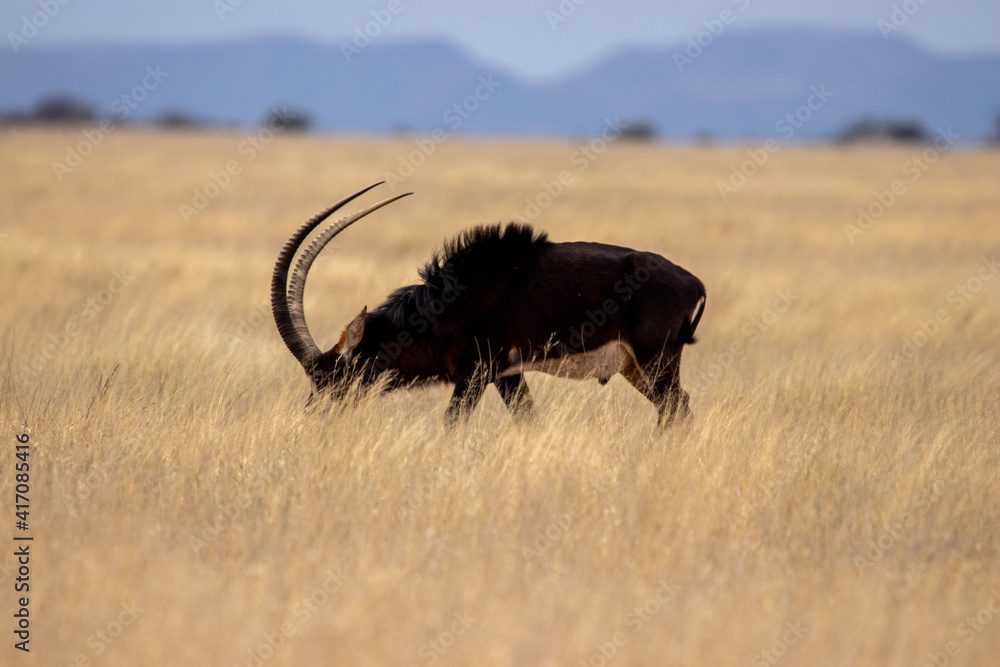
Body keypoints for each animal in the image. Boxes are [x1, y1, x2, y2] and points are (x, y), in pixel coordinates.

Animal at [271, 183, 706, 426]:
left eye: (331, 380)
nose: (312, 420)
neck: (445, 305)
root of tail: (692, 282)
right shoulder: (507, 375)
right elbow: (528, 420)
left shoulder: (476, 372)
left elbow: (452, 426)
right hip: (635, 368)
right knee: (676, 409)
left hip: (656, 361)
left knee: (676, 411)